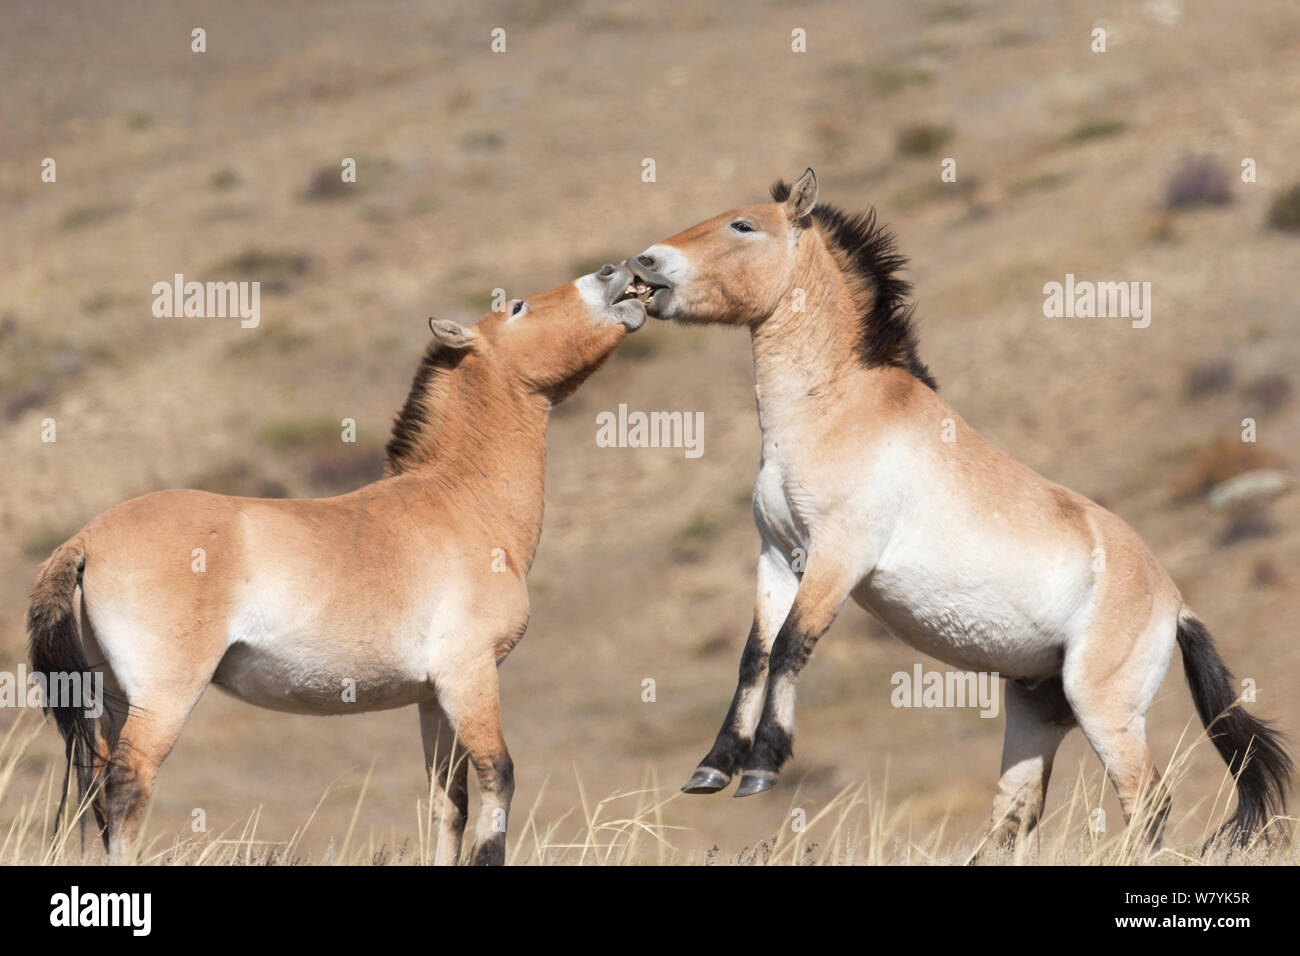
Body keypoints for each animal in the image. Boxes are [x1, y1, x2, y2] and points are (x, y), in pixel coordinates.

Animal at [27, 265, 647, 864]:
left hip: (112, 701)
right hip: (161, 700)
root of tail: (85, 539)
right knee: (125, 788)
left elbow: (449, 803)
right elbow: (498, 781)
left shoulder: (433, 698)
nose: (618, 275)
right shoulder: (470, 676)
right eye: (517, 307)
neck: (458, 499)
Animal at [614, 169, 1291, 853]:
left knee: (1148, 804)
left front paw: (761, 770)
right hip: (1039, 710)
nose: (643, 263)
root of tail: (1175, 605)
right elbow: (754, 657)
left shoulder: (839, 557)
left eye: (743, 225)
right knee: (1013, 820)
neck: (837, 407)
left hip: (1106, 711)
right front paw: (713, 768)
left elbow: (788, 647)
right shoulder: (779, 557)